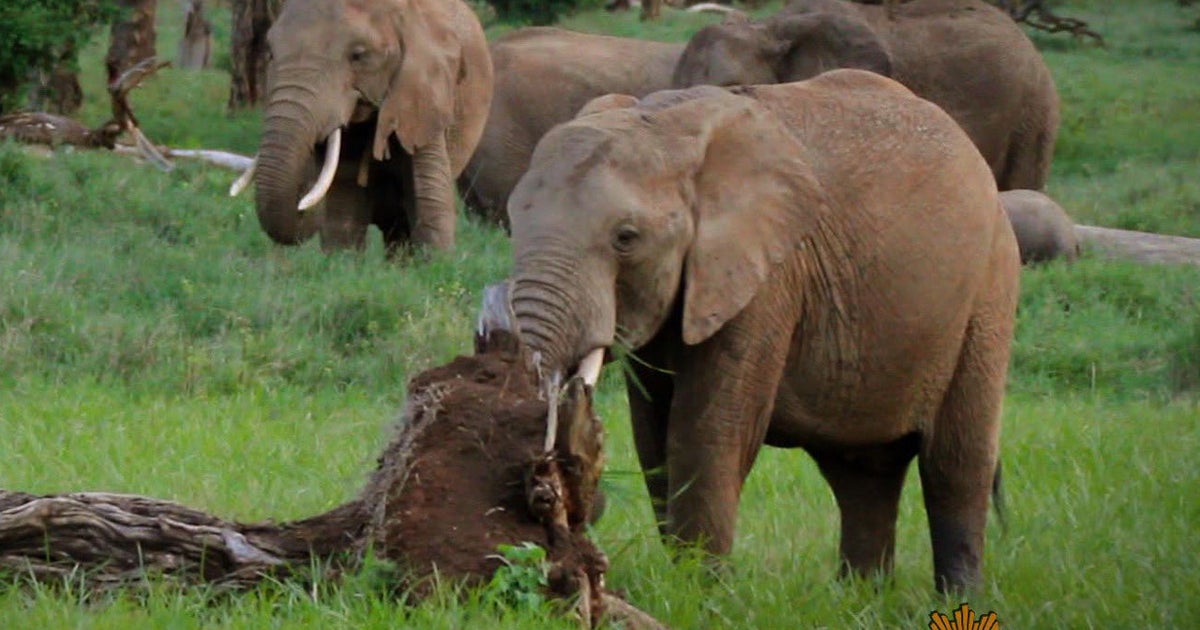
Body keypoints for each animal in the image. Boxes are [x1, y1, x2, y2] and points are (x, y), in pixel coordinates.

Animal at [240, 0, 493, 256]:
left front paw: (436, 261)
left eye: (358, 56)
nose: (301, 201)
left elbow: (431, 198)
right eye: (271, 52)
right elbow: (344, 214)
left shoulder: (424, 93)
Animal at [502, 70, 1020, 592]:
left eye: (626, 238)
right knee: (862, 471)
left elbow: (706, 431)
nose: (565, 500)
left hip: (988, 291)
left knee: (955, 464)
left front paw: (702, 590)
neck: (663, 122)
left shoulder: (767, 278)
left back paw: (956, 597)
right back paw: (862, 596)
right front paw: (688, 582)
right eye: (512, 223)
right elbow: (652, 436)